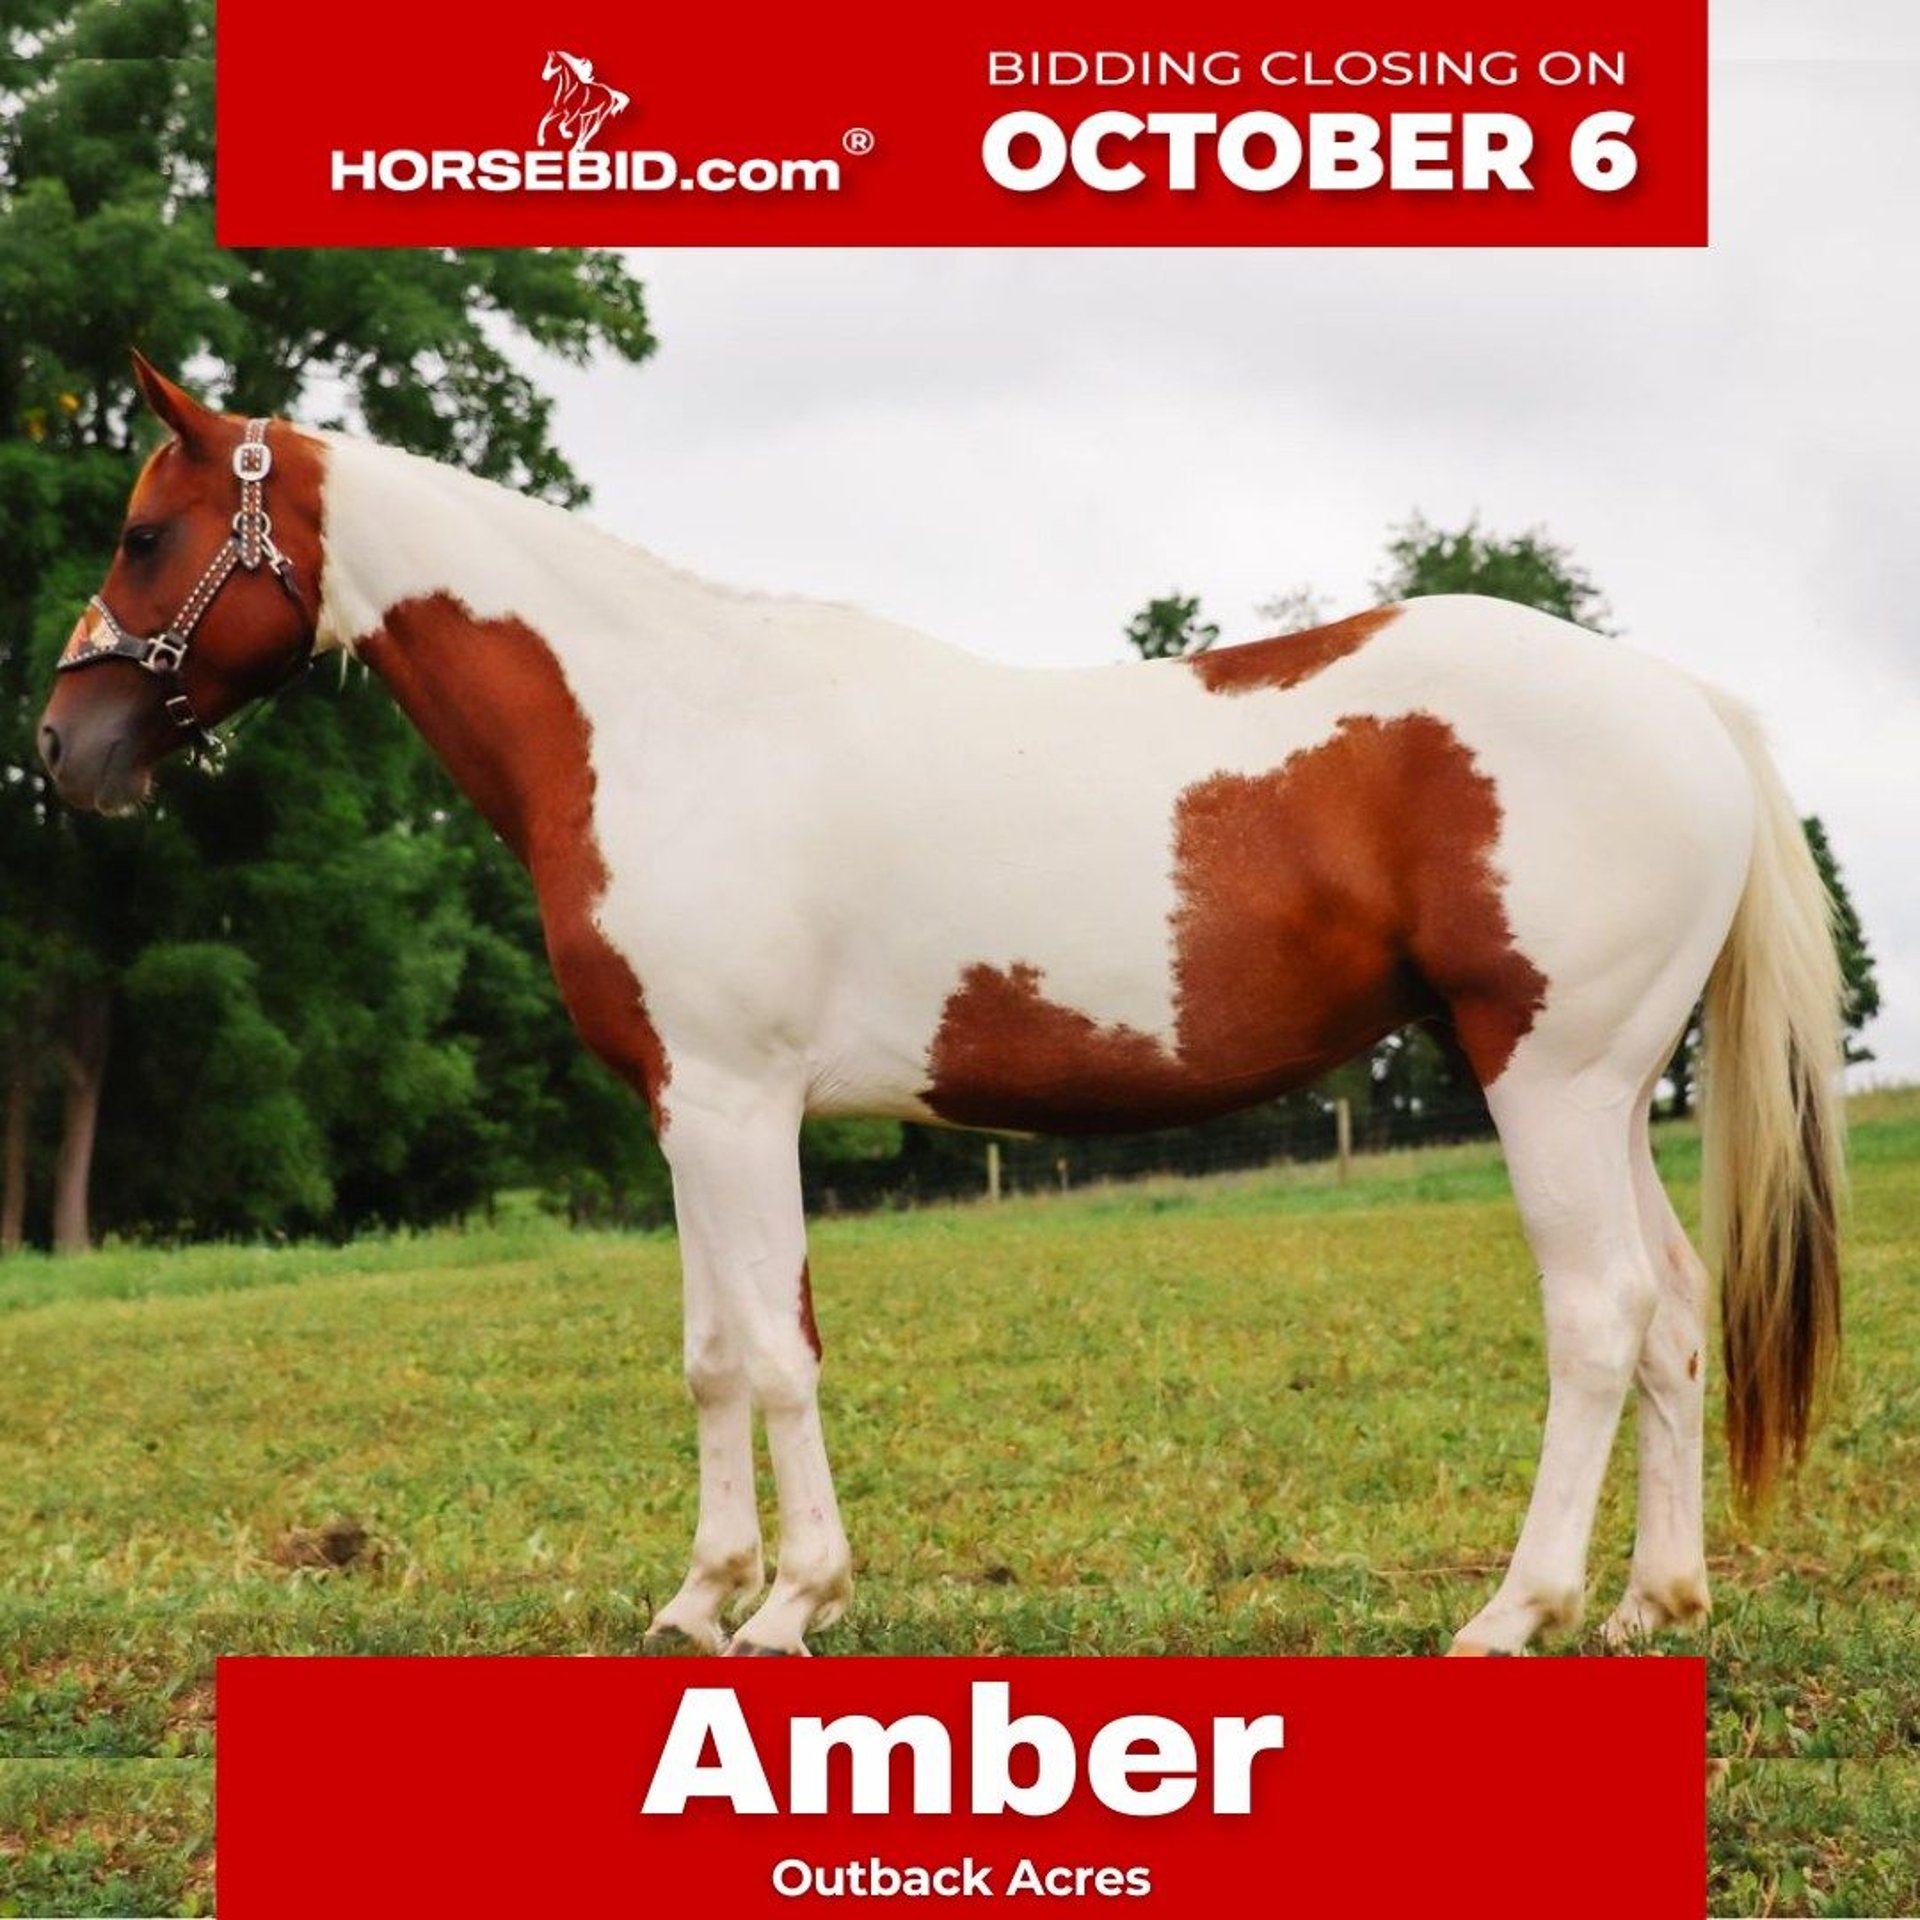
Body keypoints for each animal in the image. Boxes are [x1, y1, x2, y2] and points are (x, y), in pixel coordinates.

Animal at [37, 357, 1844, 1657]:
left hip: (1546, 1080)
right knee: (1677, 1314)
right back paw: (1648, 1606)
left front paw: (791, 1604)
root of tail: (1682, 701)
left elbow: (777, 1355)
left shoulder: (738, 1103)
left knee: (1601, 1318)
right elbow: (713, 1353)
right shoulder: (683, 1110)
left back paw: (1512, 1616)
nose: (64, 749)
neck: (658, 722)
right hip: (1607, 1095)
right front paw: (700, 1597)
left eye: (143, 535)